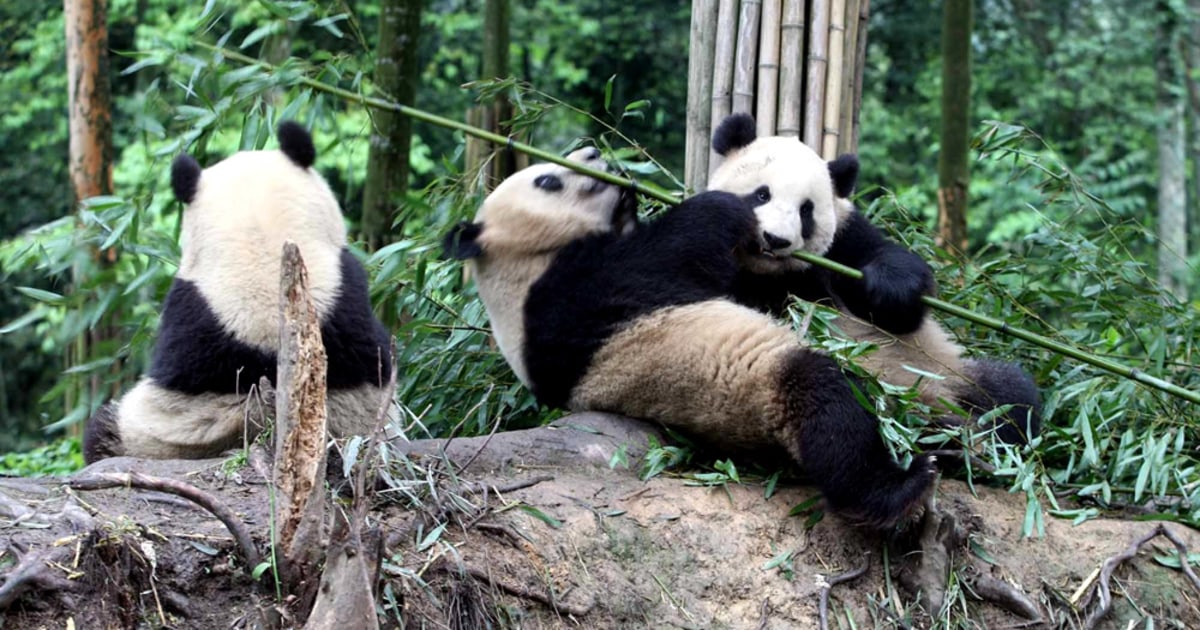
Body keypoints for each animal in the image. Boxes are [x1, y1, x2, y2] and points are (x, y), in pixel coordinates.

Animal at [443, 147, 937, 529]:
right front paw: (722, 206)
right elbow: (680, 252)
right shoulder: (571, 295)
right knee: (824, 407)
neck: (520, 259)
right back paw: (902, 487)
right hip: (753, 396)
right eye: (547, 180)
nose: (594, 152)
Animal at [707, 112, 1041, 444]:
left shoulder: (845, 236)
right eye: (762, 194)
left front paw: (888, 289)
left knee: (1011, 393)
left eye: (806, 211)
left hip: (953, 372)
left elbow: (894, 295)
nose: (776, 240)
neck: (770, 271)